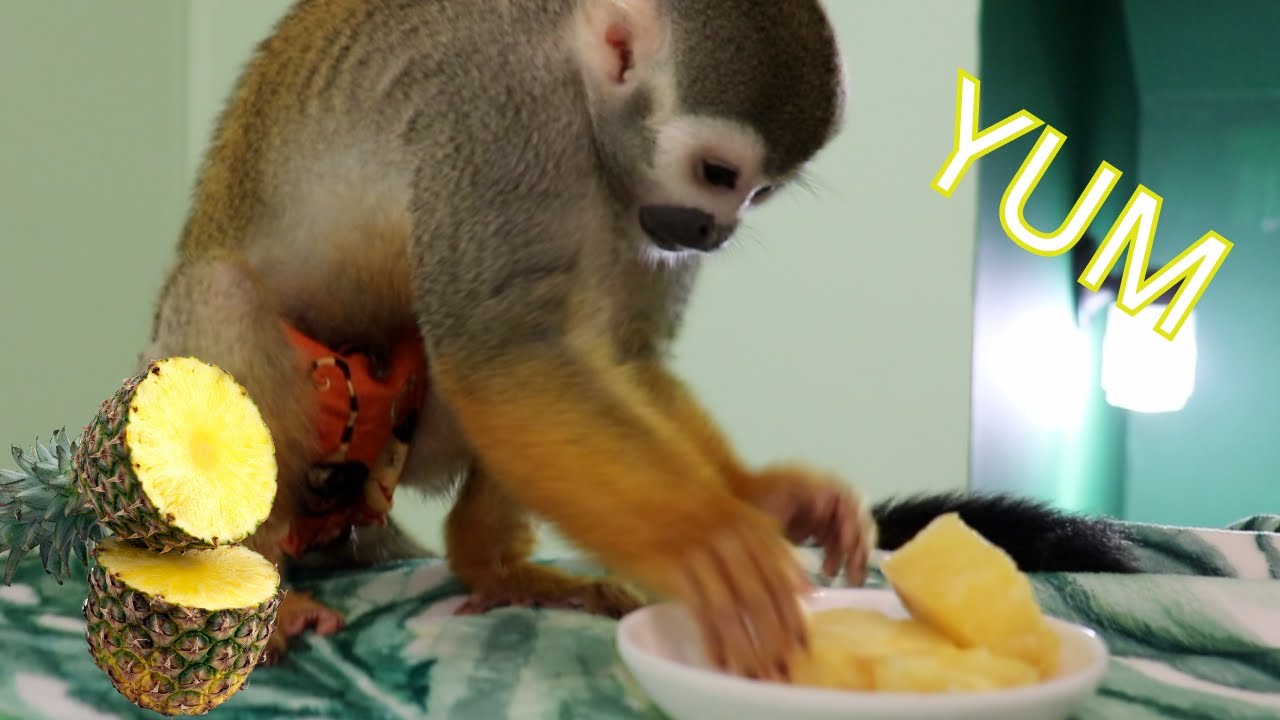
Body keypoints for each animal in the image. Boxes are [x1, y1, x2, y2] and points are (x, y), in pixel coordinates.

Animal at [140, 0, 1141, 683]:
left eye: (759, 194)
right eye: (719, 174)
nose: (715, 234)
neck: (582, 97)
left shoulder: (627, 189)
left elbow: (611, 352)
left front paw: (762, 496)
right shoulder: (506, 121)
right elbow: (504, 350)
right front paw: (708, 539)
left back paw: (491, 564)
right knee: (228, 297)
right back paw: (249, 587)